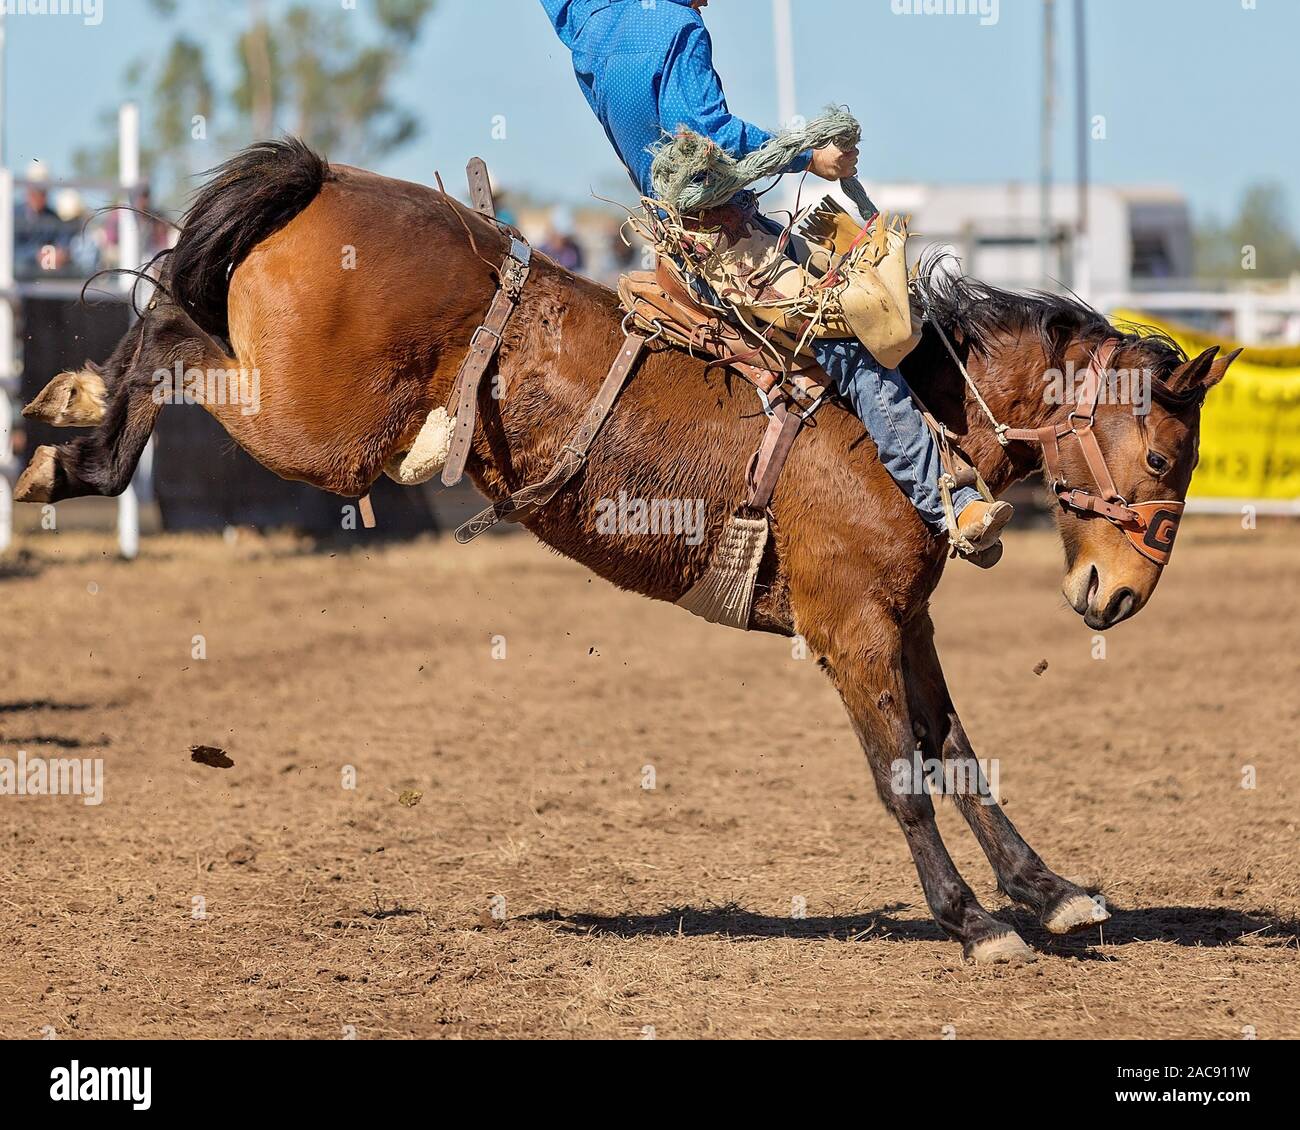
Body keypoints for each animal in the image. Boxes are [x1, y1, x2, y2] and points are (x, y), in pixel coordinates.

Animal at [15, 140, 1238, 963]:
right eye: (1166, 452)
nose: (1117, 593)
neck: (909, 413)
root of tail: (326, 179)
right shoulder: (850, 629)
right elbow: (902, 775)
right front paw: (977, 922)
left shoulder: (908, 617)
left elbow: (959, 755)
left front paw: (1051, 889)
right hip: (311, 429)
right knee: (177, 337)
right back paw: (68, 443)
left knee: (173, 320)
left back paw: (64, 437)